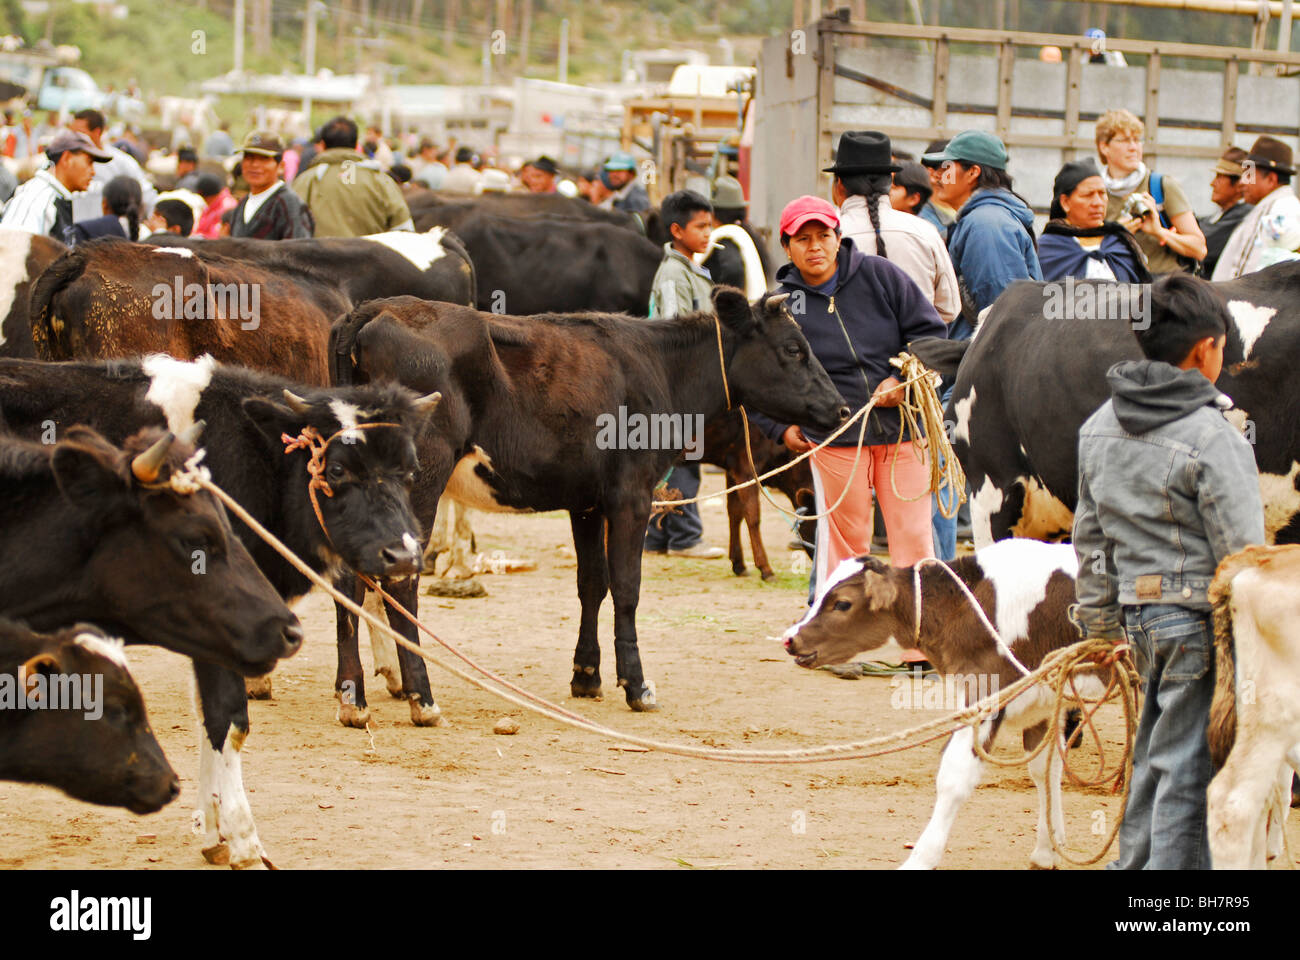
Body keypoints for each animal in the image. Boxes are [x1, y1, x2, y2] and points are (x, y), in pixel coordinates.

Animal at [699, 410, 814, 581]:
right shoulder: (747, 466)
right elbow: (752, 516)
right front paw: (765, 569)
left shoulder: (732, 469)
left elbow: (735, 512)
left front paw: (738, 564)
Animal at [782, 538, 1110, 869]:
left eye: (842, 603)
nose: (789, 639)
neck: (967, 605)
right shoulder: (1042, 698)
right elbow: (1045, 769)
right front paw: (1047, 849)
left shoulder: (986, 696)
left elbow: (954, 778)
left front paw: (920, 859)